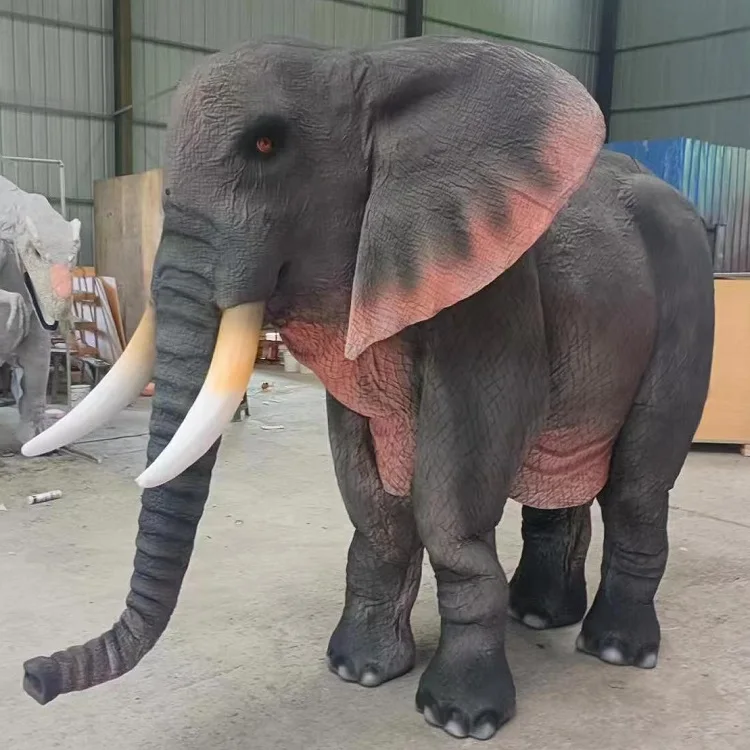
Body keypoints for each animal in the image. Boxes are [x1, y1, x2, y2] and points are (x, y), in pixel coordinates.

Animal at [20, 37, 714, 741]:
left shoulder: (494, 295)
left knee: (636, 485)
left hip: (689, 296)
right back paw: (540, 616)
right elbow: (368, 489)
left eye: (266, 145)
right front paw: (359, 671)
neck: (372, 75)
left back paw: (616, 649)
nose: (32, 677)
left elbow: (459, 480)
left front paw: (458, 717)